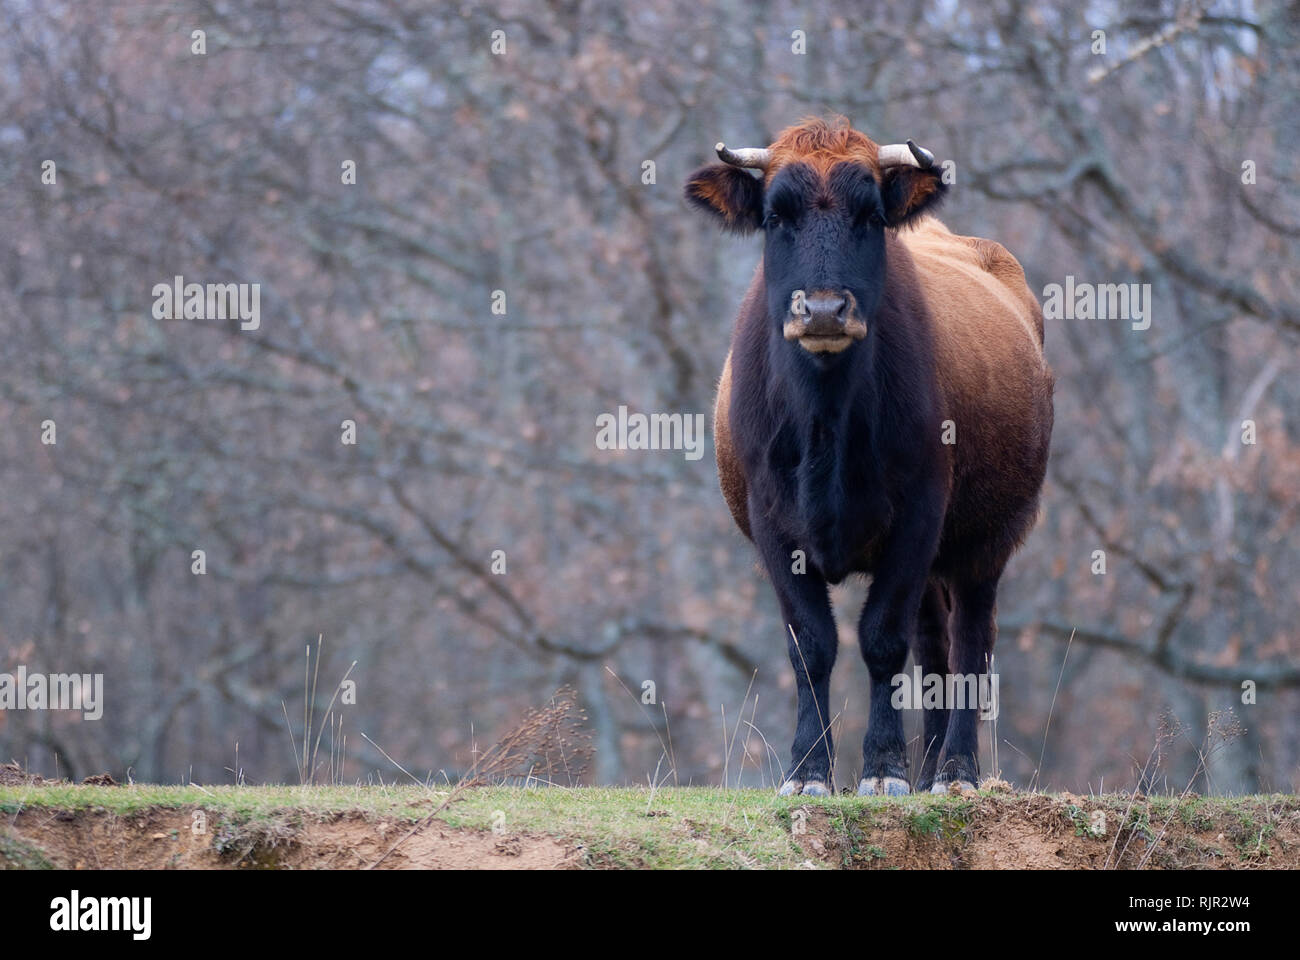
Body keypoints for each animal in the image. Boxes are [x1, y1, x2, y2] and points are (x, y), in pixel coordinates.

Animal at [685, 117, 1053, 796]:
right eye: (776, 216)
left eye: (871, 215)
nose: (825, 309)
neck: (827, 422)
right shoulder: (772, 526)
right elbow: (811, 645)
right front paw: (808, 769)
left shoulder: (918, 516)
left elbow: (882, 640)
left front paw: (883, 768)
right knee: (934, 645)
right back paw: (931, 765)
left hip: (987, 539)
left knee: (970, 642)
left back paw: (955, 770)